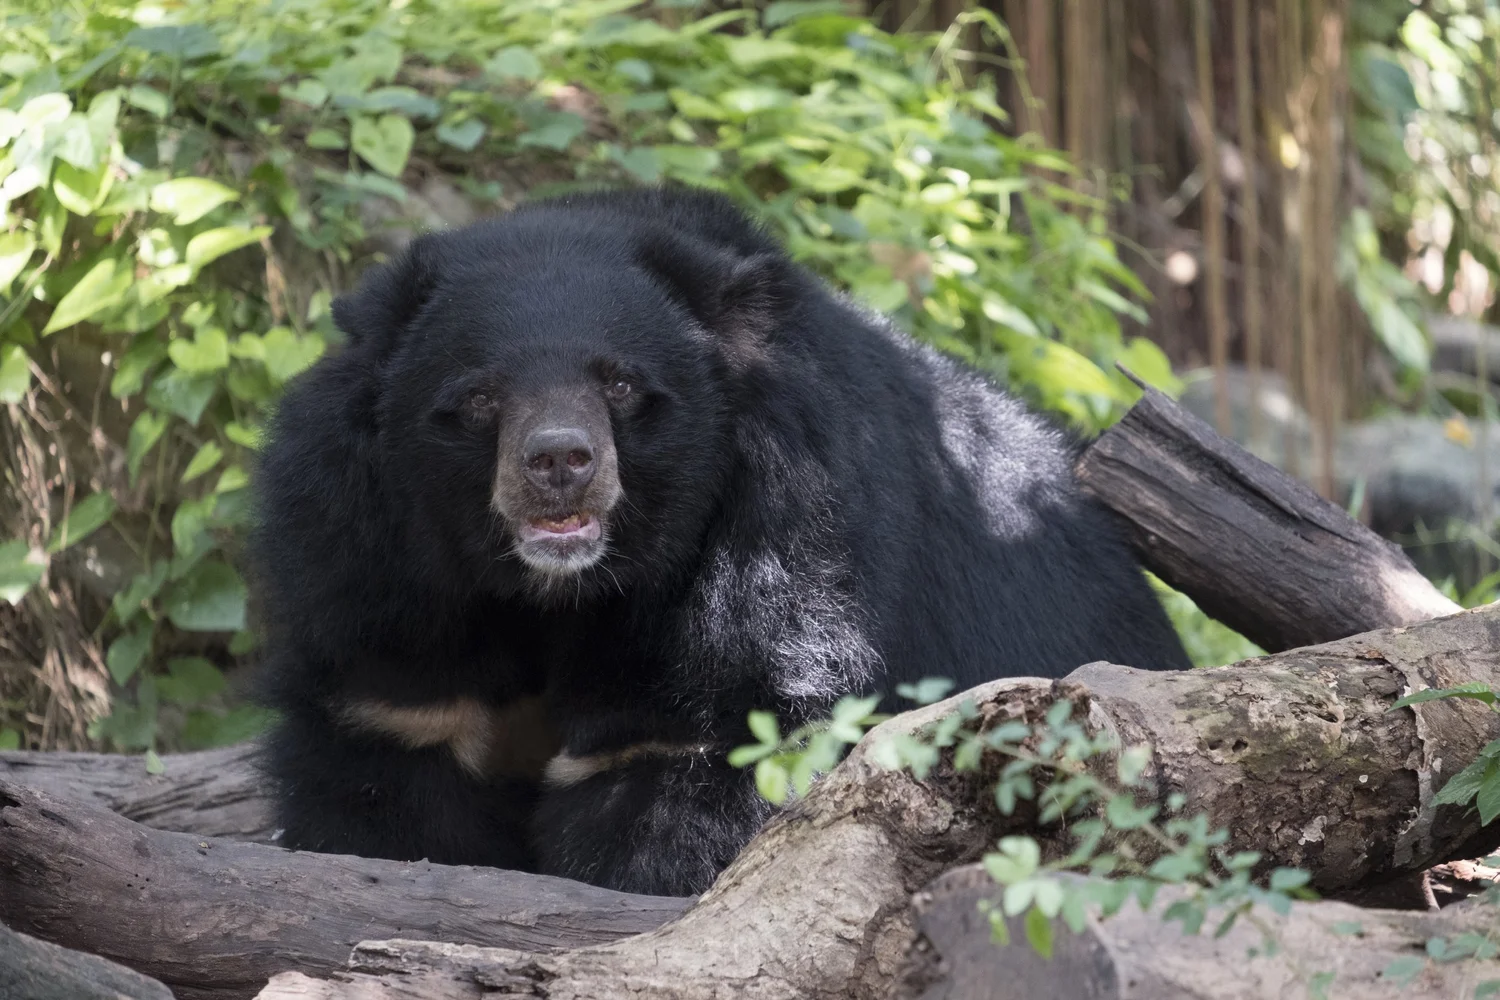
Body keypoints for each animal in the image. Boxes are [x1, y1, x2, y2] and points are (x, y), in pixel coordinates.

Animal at [250, 186, 1192, 896]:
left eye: (621, 385)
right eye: (481, 397)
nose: (559, 463)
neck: (555, 595)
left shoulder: (771, 558)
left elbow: (689, 775)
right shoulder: (378, 584)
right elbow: (389, 772)